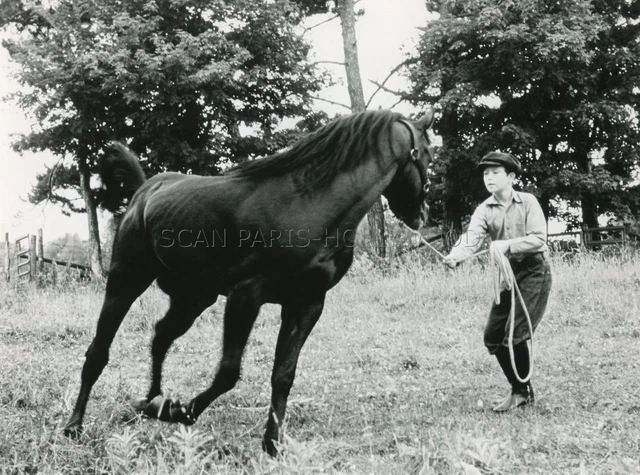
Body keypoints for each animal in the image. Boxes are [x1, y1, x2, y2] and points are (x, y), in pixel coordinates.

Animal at [63, 108, 435, 455]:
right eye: (428, 153)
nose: (422, 214)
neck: (309, 205)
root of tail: (143, 191)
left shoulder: (307, 302)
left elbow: (283, 374)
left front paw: (272, 445)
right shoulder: (246, 296)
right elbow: (228, 371)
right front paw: (184, 411)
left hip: (194, 297)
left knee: (161, 336)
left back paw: (153, 402)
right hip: (126, 281)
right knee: (98, 353)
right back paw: (75, 426)